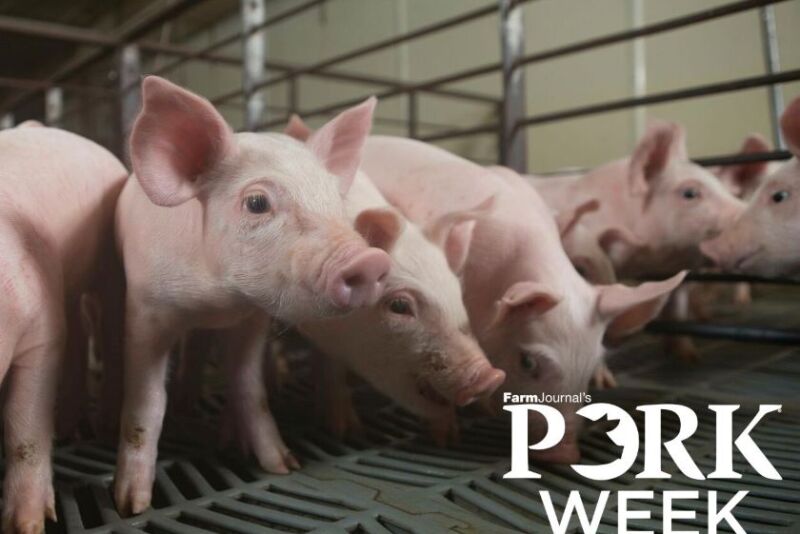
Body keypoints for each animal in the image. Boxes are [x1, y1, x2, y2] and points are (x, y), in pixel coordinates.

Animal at [0, 125, 127, 533]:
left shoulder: (40, 331)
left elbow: (24, 425)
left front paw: (27, 525)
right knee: (77, 334)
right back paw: (70, 426)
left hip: (110, 266)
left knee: (111, 332)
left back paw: (104, 426)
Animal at [113, 76, 391, 516]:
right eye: (257, 202)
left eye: (335, 200)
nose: (370, 260)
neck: (215, 300)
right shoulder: (145, 309)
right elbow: (148, 400)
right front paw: (132, 505)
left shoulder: (252, 318)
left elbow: (249, 385)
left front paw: (285, 465)